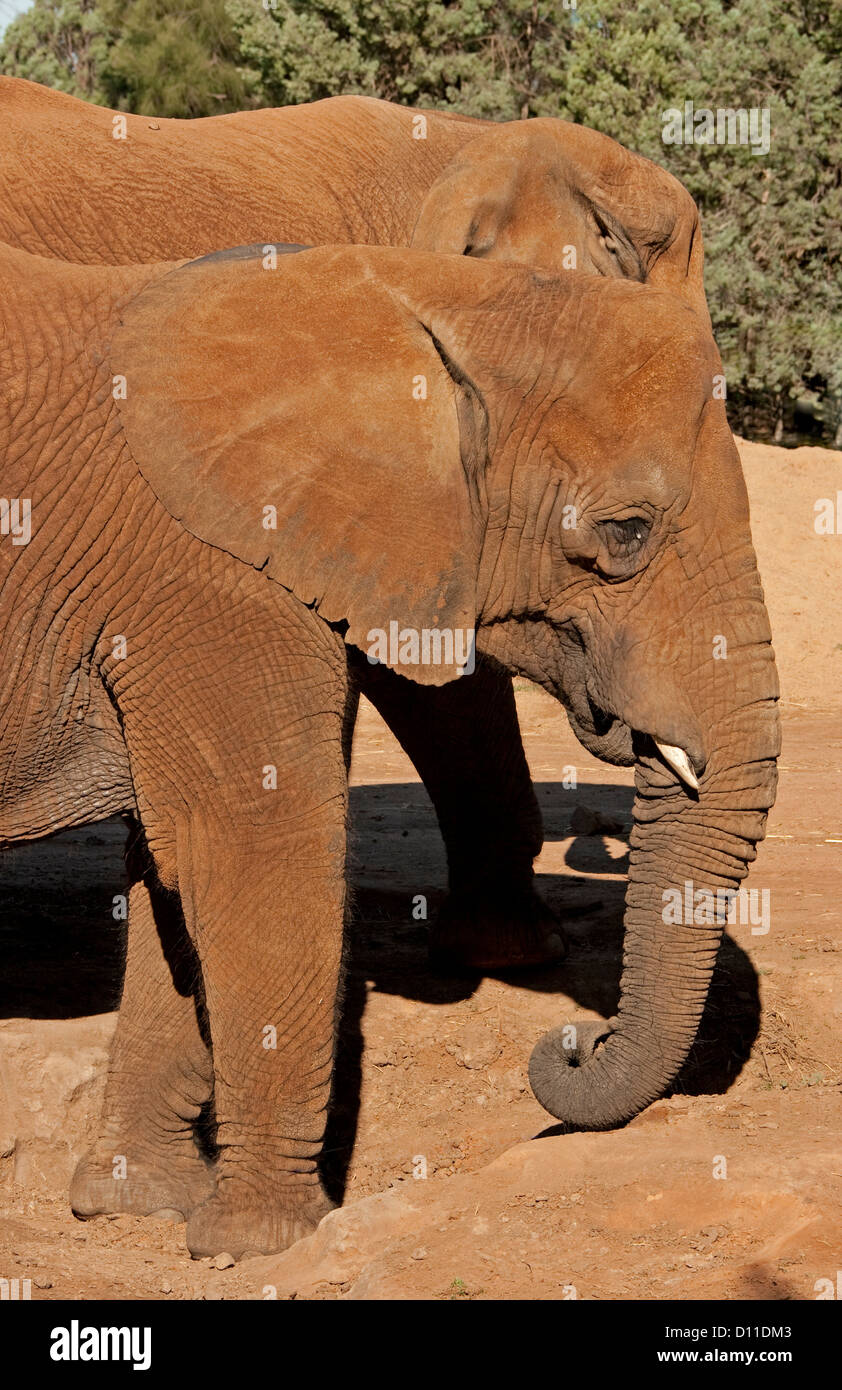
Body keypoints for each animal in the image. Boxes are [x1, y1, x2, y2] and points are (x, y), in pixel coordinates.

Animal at [0, 239, 779, 1257]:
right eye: (626, 533)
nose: (576, 1045)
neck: (423, 294)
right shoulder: (208, 576)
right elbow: (255, 850)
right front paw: (264, 1246)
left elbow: (171, 871)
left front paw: (142, 1206)